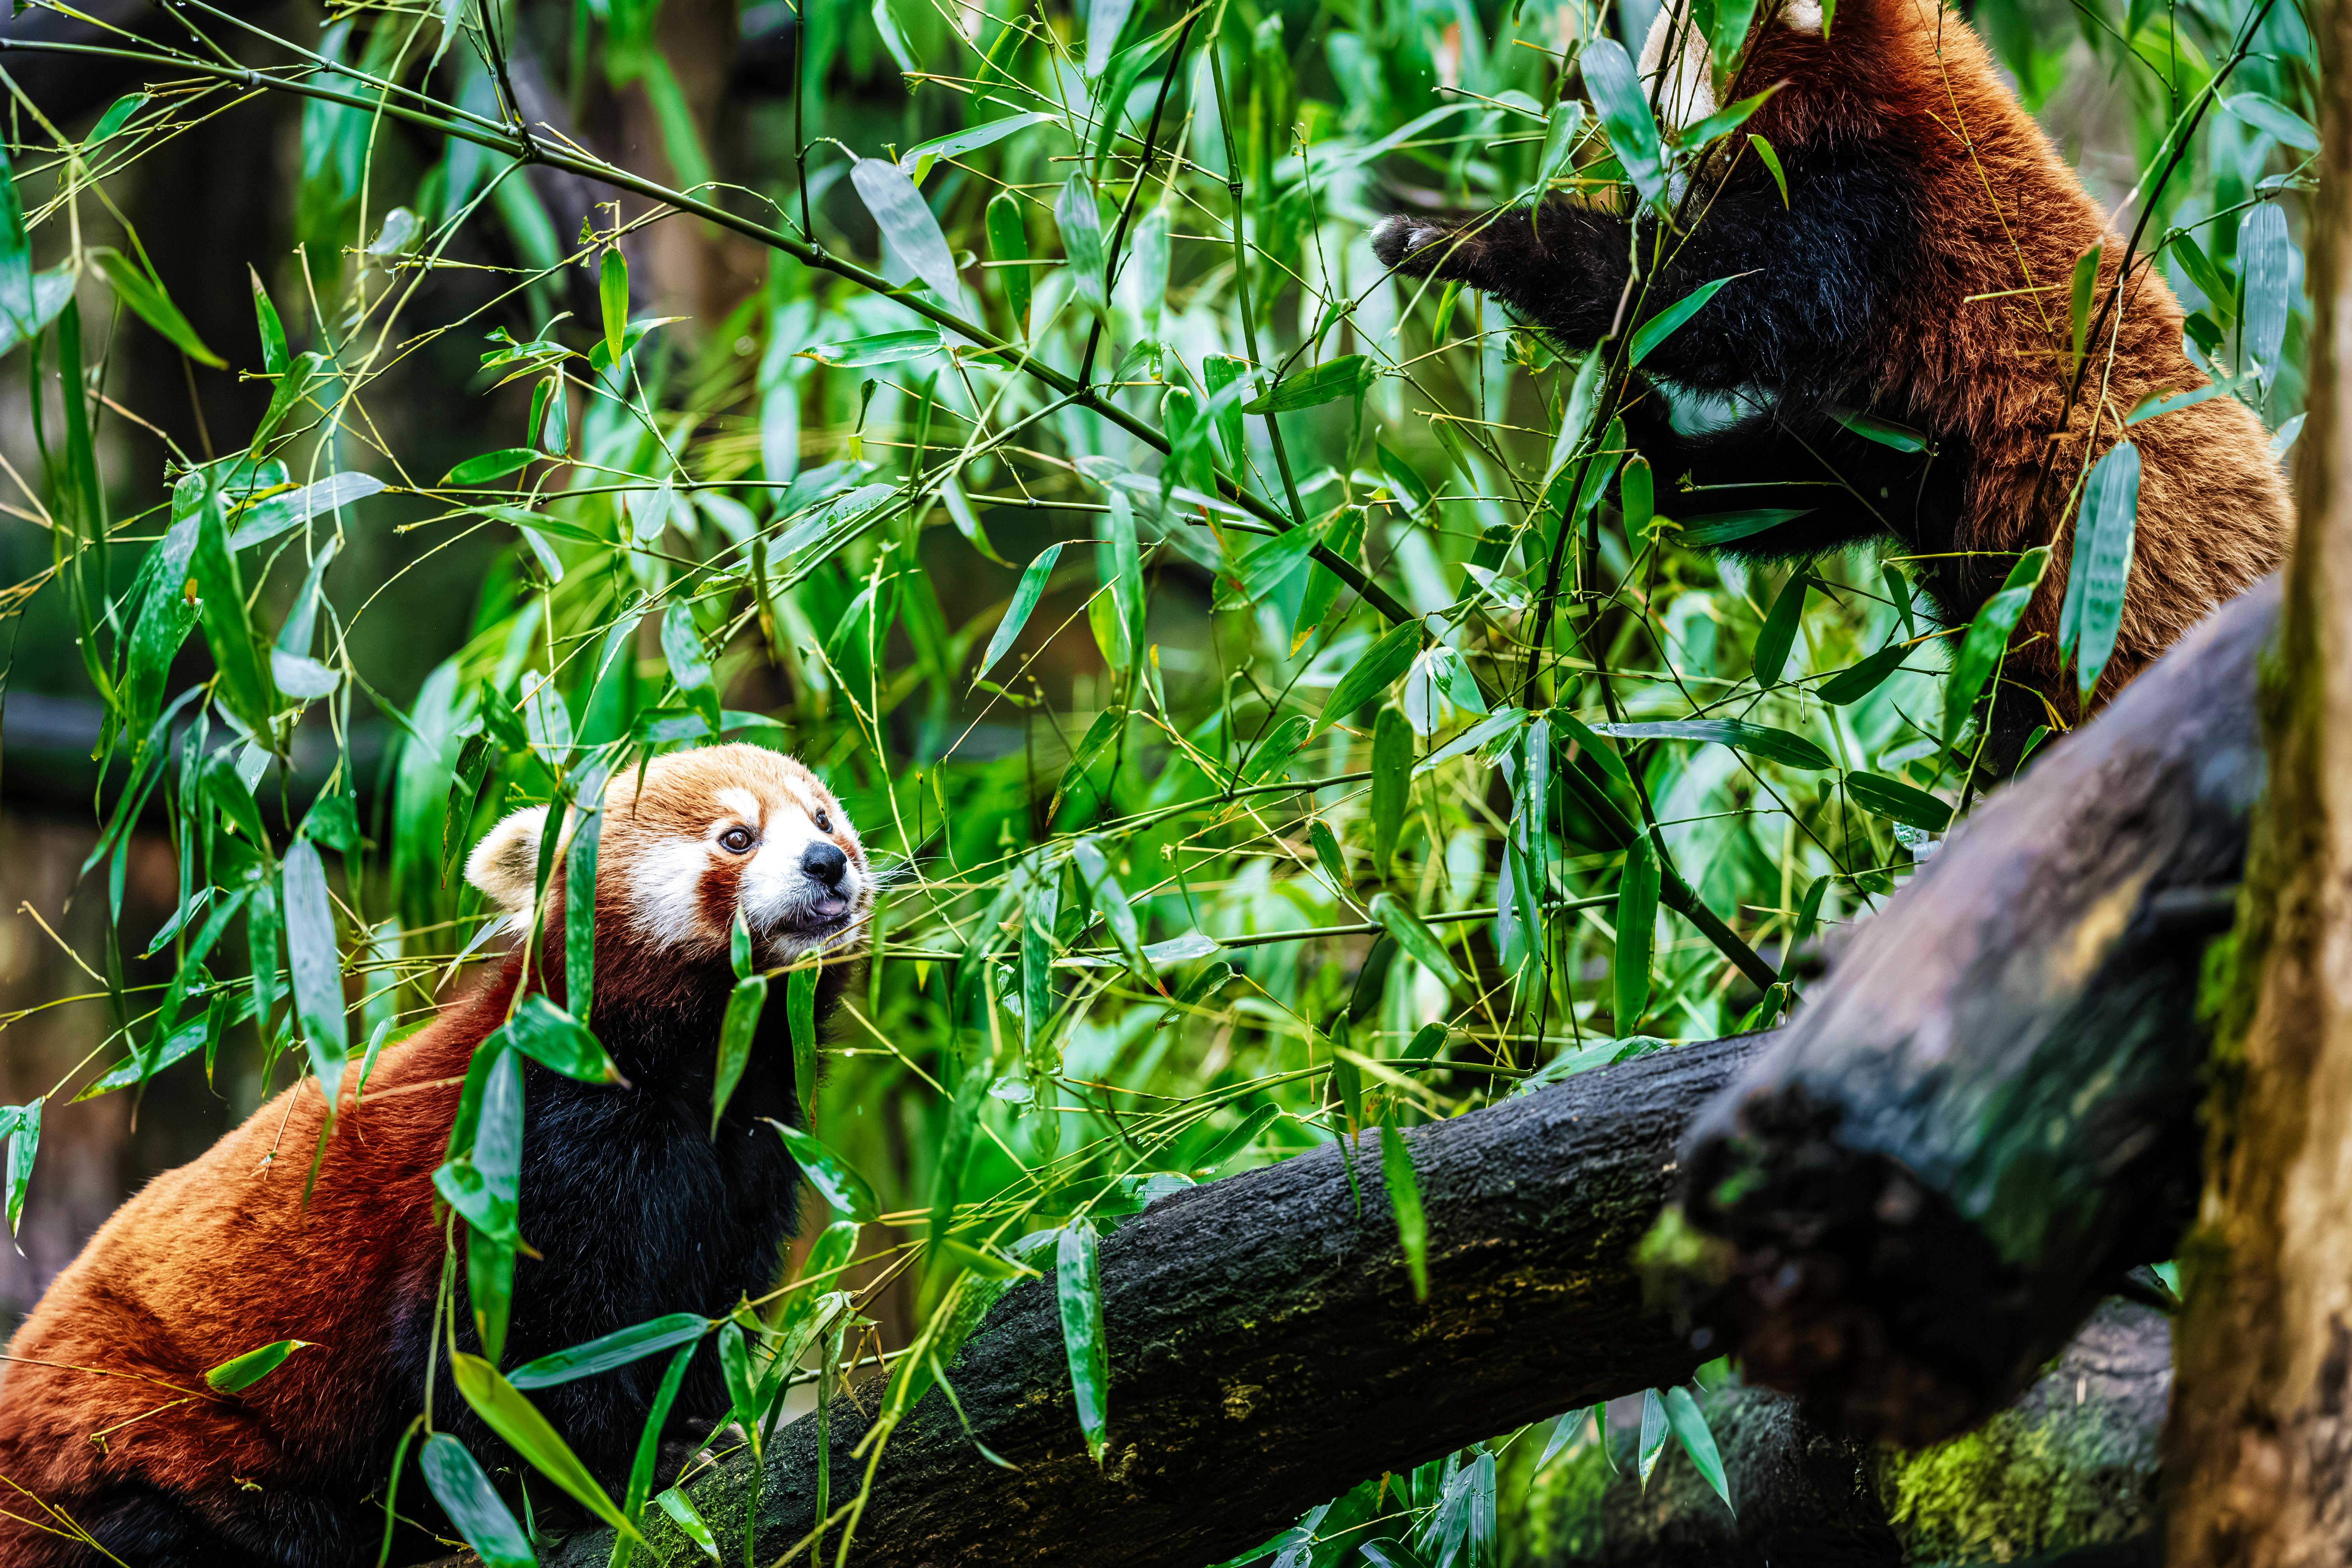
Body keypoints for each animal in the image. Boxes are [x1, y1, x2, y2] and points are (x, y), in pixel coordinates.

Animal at [0, 744, 871, 1566]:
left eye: (824, 818)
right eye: (737, 837)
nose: (827, 861)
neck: (697, 1065)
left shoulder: (752, 1152)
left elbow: (700, 1317)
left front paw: (694, 1424)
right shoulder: (530, 1139)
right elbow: (491, 1353)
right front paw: (620, 1468)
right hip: (136, 1416)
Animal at [1372, 0, 2290, 760]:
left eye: (1672, 49)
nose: (1621, 104)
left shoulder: (1869, 230)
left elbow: (1691, 302)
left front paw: (1455, 239)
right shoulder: (1899, 439)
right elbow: (1774, 482)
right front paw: (1644, 446)